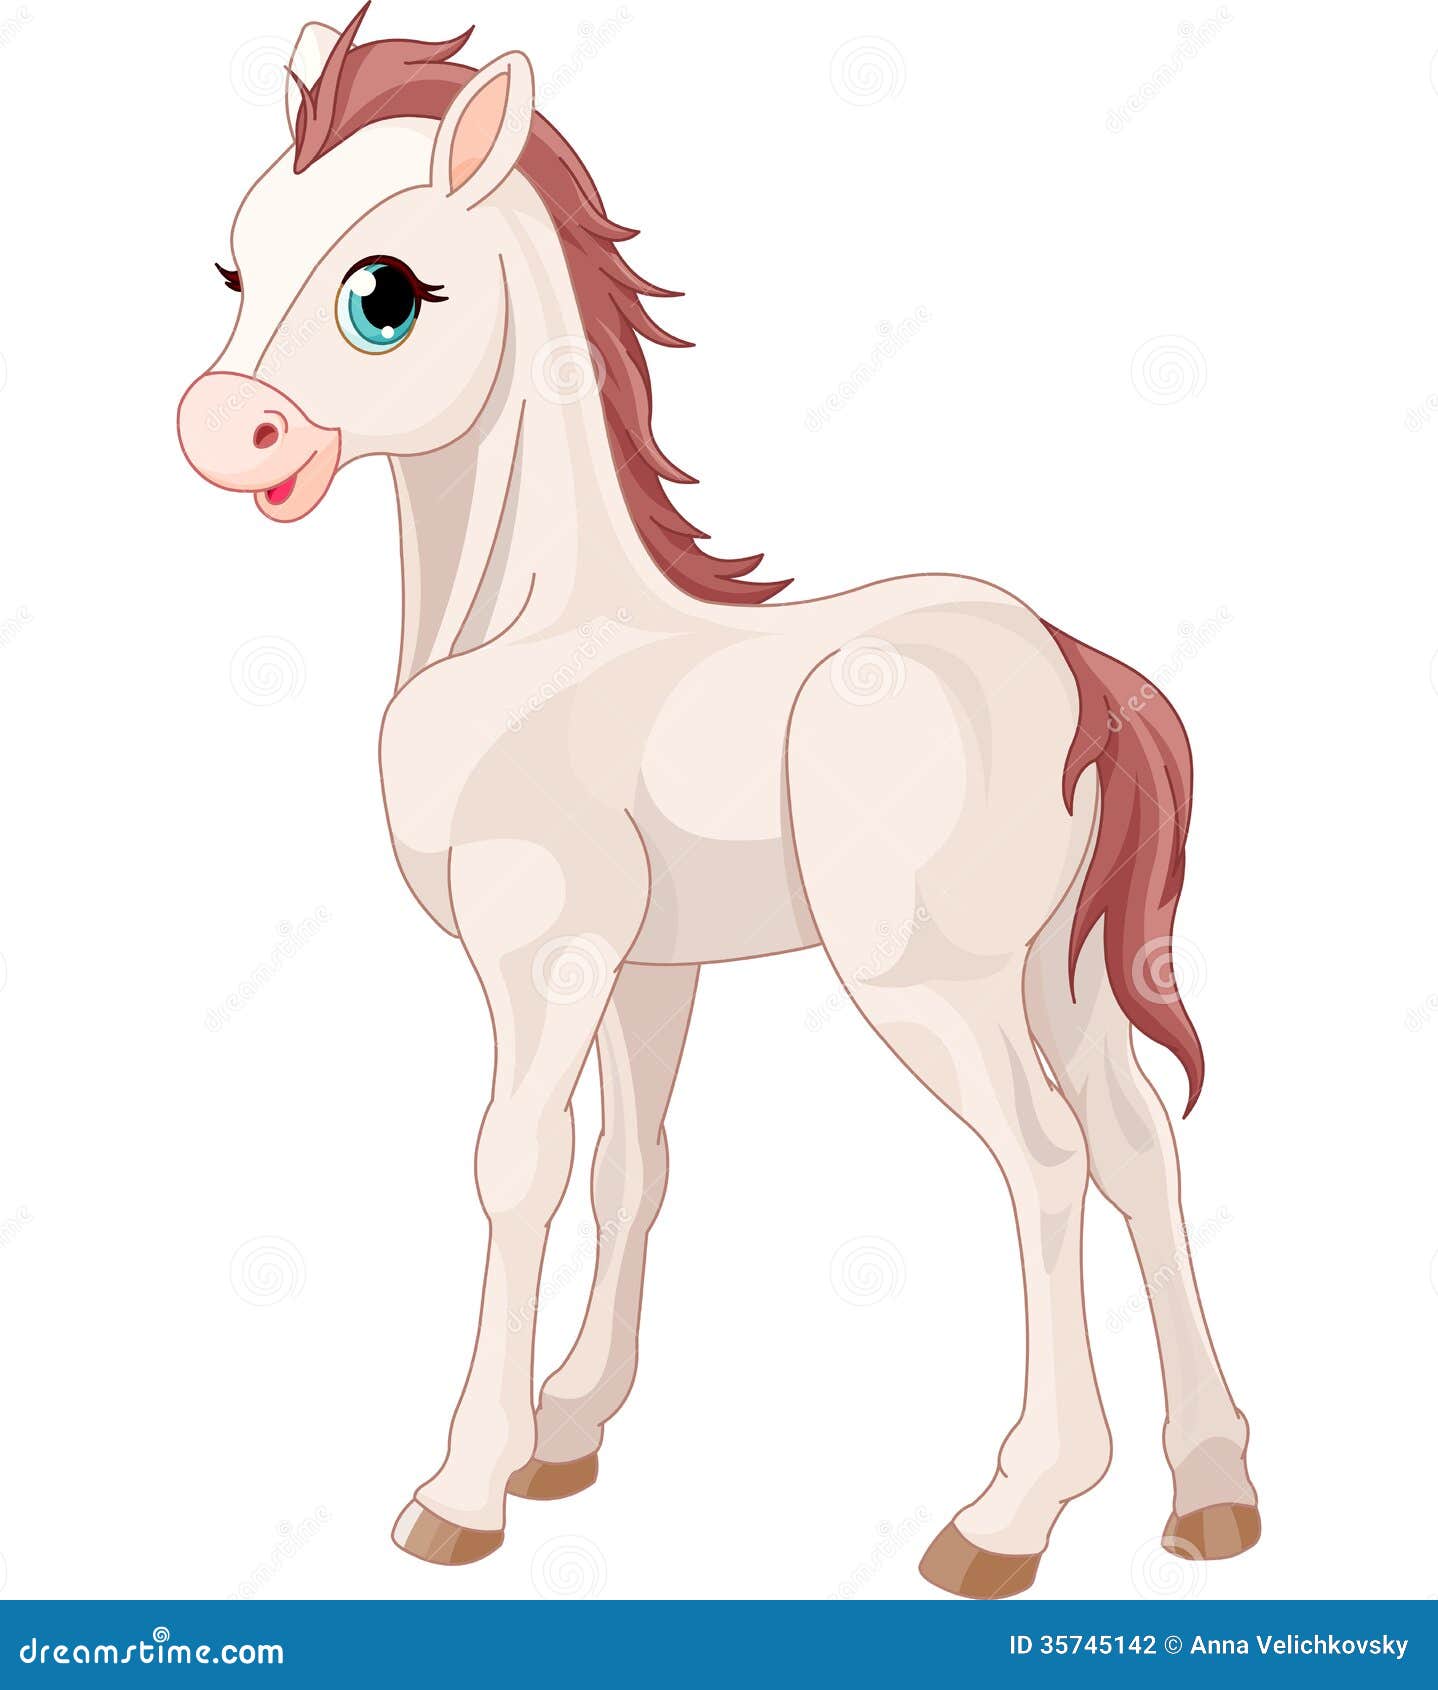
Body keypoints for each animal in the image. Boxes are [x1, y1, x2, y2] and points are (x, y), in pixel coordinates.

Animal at [176, 8, 1259, 1598]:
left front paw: (460, 1489)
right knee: (1138, 1151)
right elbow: (634, 1166)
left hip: (931, 985)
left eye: (384, 295)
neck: (532, 628)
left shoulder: (540, 950)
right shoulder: (647, 968)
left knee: (1047, 1159)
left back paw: (1007, 1514)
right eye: (238, 268)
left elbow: (516, 1166)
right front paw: (565, 1434)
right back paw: (1212, 1490)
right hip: (1046, 974)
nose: (222, 431)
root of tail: (1074, 667)